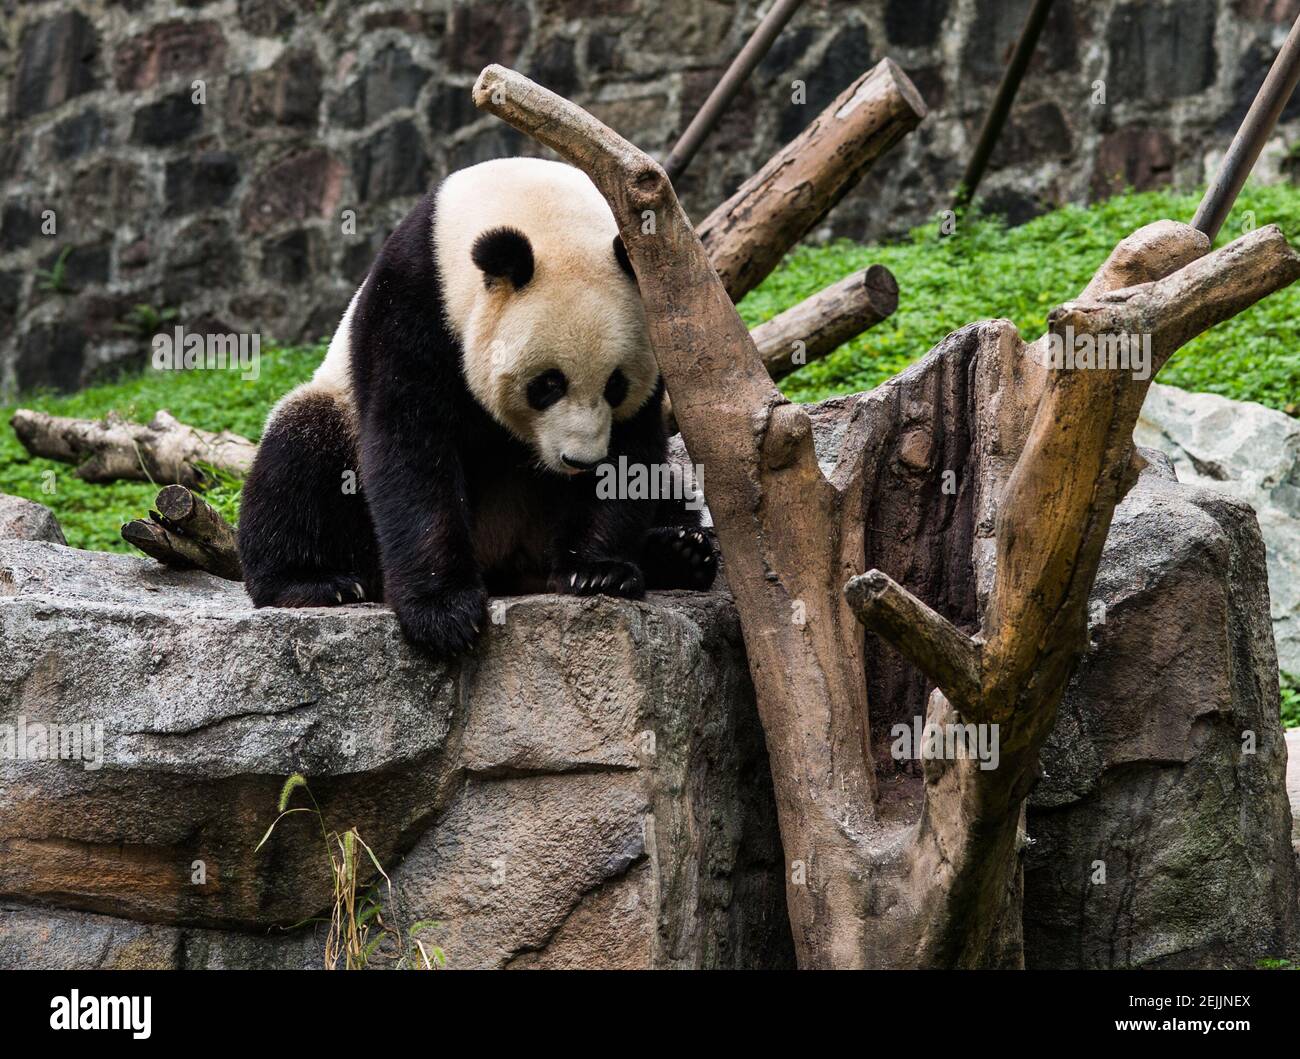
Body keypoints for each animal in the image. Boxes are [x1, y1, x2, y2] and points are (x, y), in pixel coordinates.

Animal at [237, 157, 716, 656]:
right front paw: (443, 612)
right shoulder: (417, 299)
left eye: (615, 385)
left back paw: (683, 550)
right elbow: (410, 445)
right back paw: (315, 582)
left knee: (671, 486)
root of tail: (508, 562)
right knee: (298, 458)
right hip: (334, 408)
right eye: (547, 385)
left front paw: (598, 571)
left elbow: (633, 452)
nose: (580, 461)